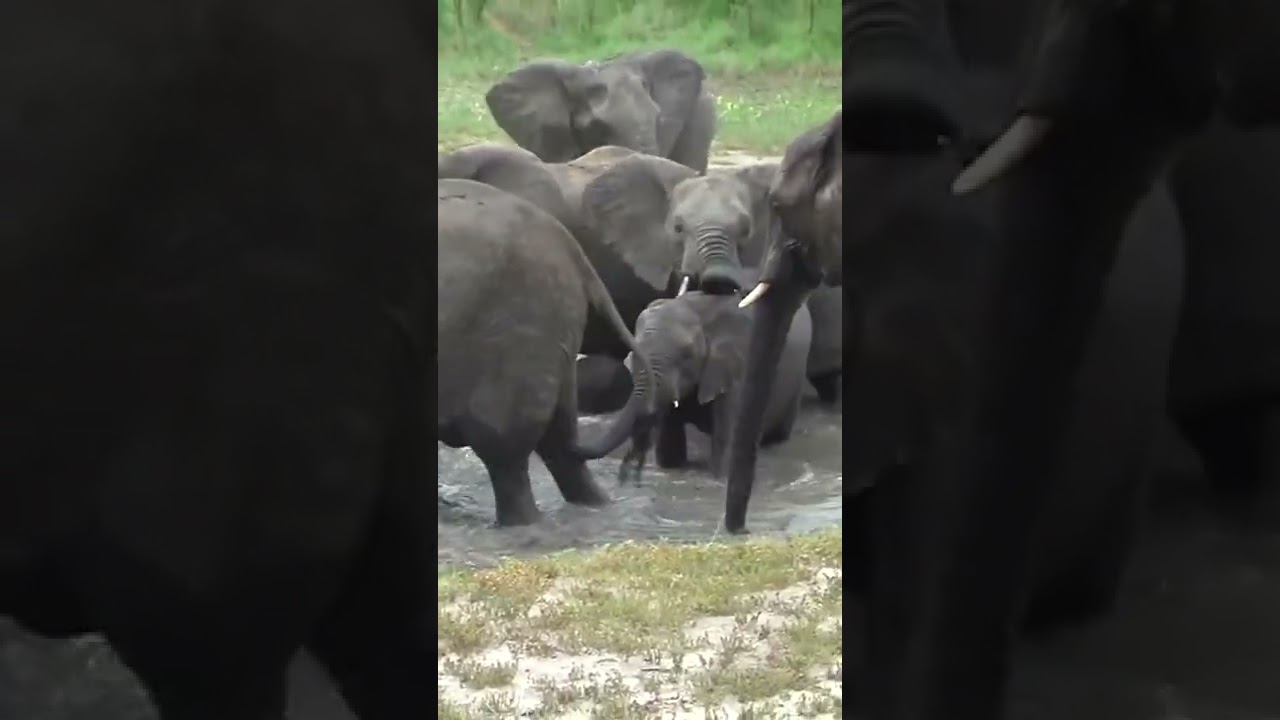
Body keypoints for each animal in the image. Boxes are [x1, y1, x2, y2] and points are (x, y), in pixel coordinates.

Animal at [577, 283, 812, 479]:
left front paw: (719, 477)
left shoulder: (740, 365)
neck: (700, 312)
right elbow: (670, 447)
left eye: (687, 354)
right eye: (634, 354)